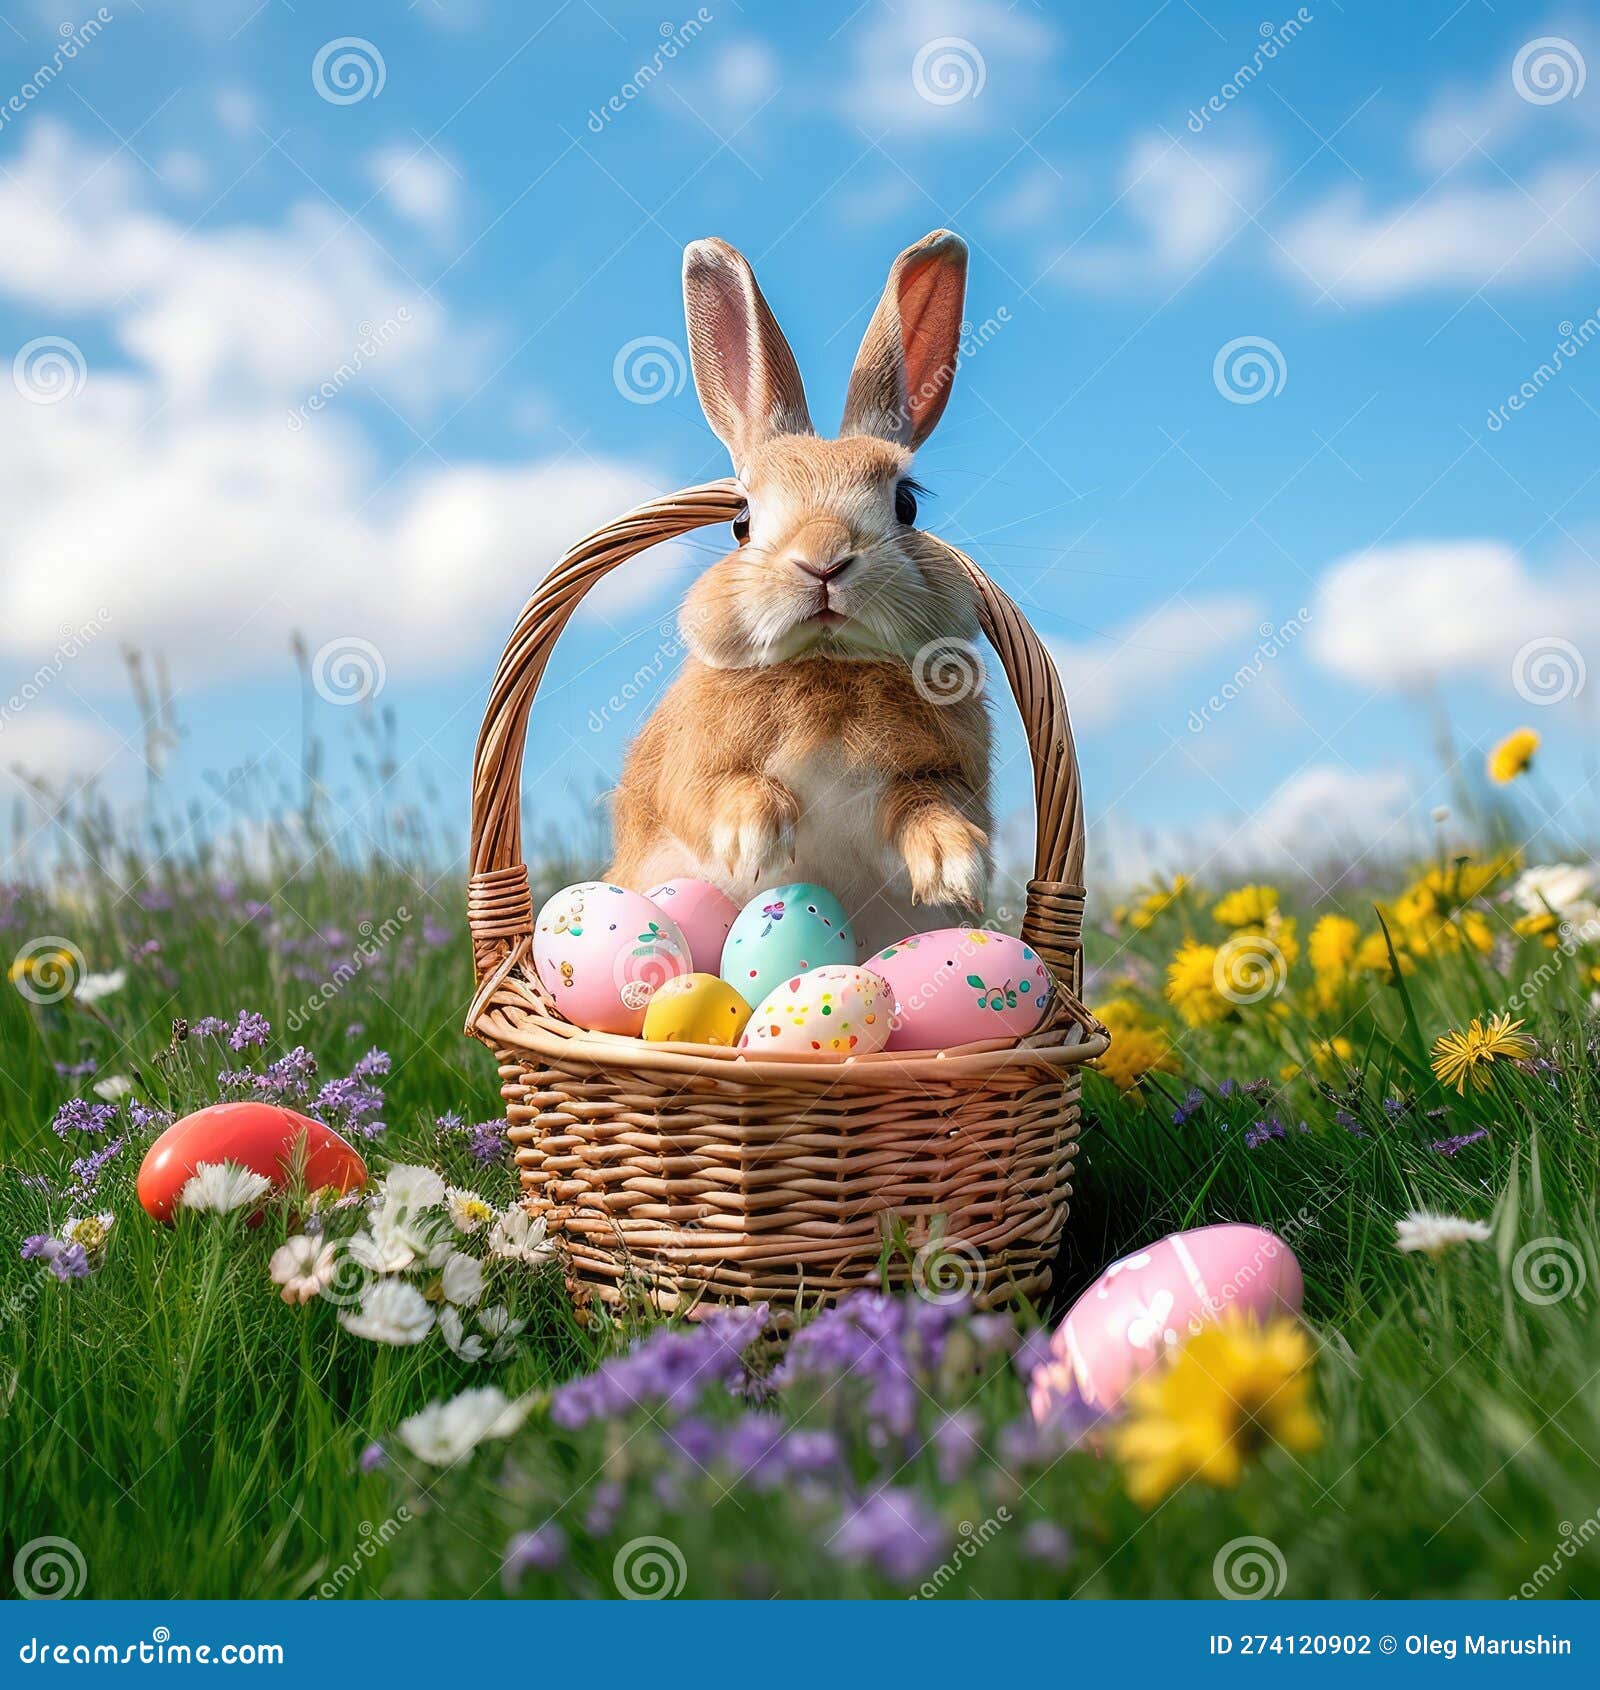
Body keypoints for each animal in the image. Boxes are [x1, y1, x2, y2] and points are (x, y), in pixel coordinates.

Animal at [607, 230, 991, 957]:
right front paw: (755, 839)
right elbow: (718, 791)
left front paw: (958, 866)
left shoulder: (940, 777)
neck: (826, 662)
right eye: (740, 522)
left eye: (906, 504)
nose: (824, 561)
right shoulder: (690, 773)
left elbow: (926, 806)